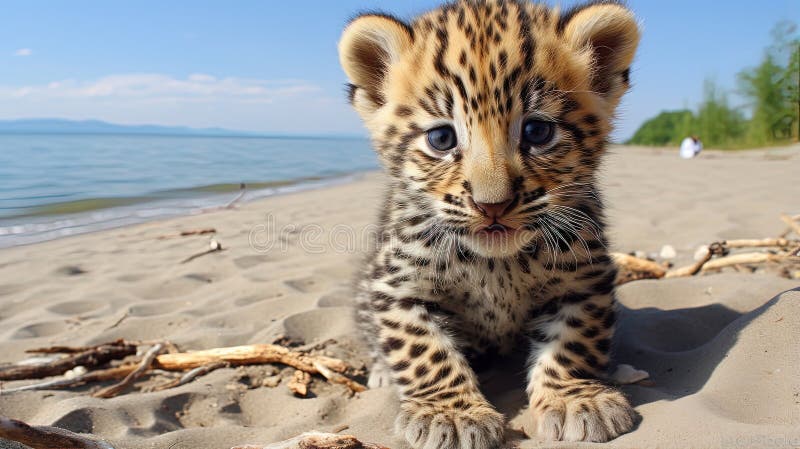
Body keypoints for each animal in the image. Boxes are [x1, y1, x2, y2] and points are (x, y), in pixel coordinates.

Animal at [338, 1, 641, 447]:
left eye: (537, 131)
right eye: (441, 139)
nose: (491, 205)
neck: (495, 264)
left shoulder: (585, 277)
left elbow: (574, 341)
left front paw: (575, 400)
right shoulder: (398, 286)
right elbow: (423, 351)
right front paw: (450, 414)